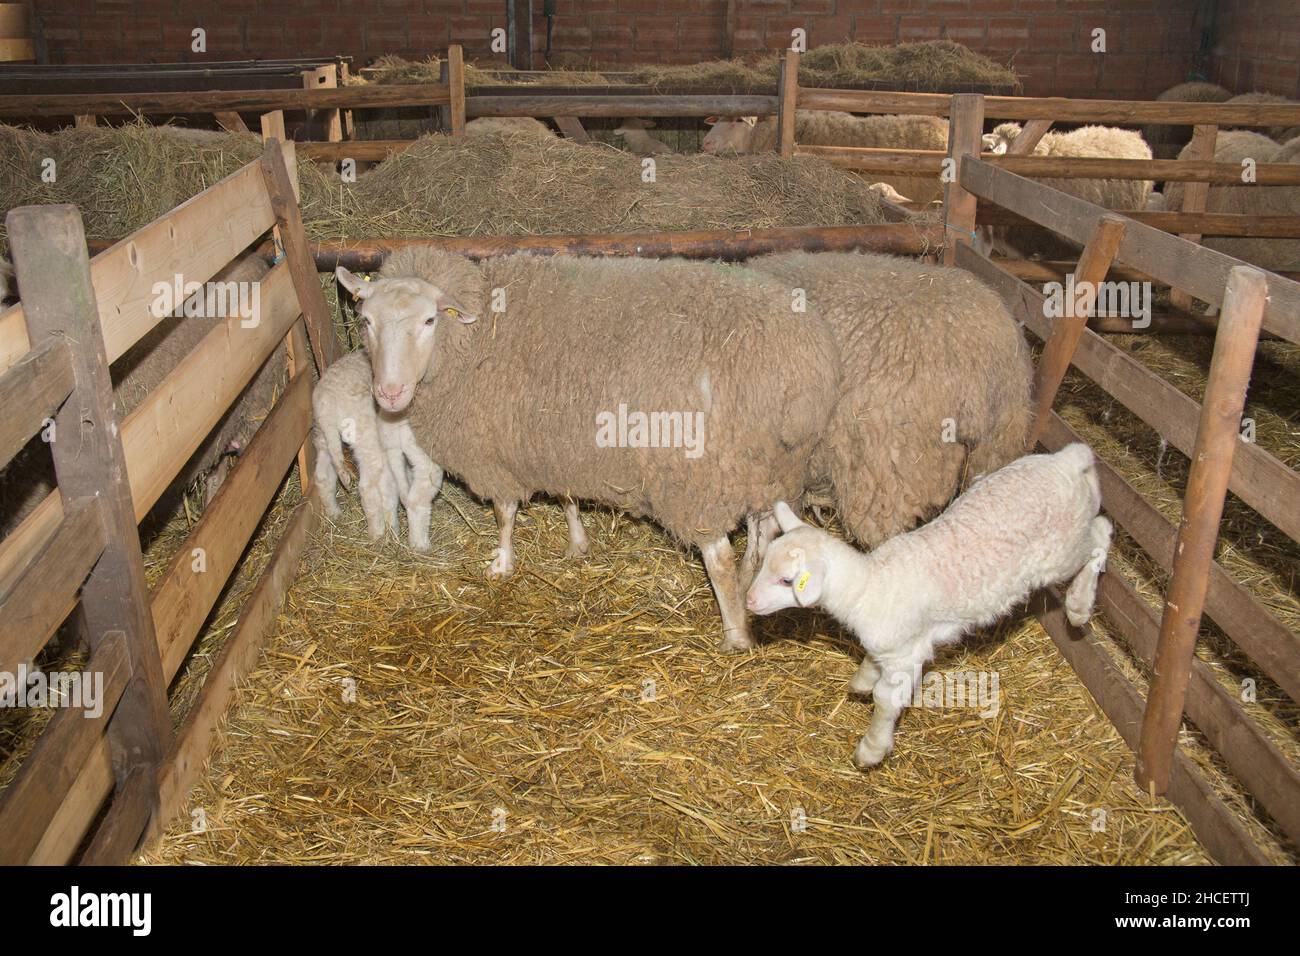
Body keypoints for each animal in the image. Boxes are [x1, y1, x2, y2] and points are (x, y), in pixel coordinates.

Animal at [335, 246, 840, 651]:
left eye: (429, 319)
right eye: (366, 321)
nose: (390, 394)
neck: (475, 339)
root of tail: (801, 363)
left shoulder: (496, 452)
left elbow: (504, 513)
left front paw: (502, 564)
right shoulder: (558, 441)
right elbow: (566, 497)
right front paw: (577, 544)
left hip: (696, 477)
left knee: (718, 558)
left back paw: (735, 635)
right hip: (766, 466)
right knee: (764, 531)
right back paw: (754, 580)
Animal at [746, 443, 1112, 769]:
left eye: (787, 581)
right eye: (766, 562)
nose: (749, 600)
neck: (869, 585)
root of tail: (1068, 460)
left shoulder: (907, 655)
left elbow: (885, 699)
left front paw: (872, 749)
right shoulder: (891, 646)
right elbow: (872, 668)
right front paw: (862, 680)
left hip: (1063, 552)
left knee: (1101, 533)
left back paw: (1079, 605)